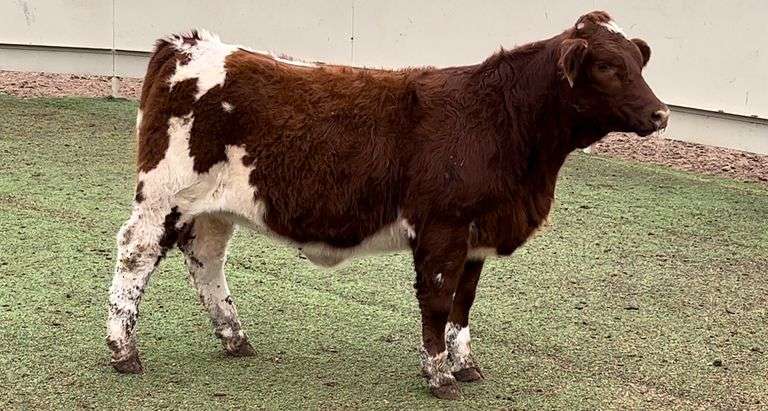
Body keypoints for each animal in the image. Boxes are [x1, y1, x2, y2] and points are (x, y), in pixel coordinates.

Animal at [107, 10, 669, 399]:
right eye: (607, 65)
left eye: (638, 62)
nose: (661, 114)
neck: (498, 121)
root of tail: (188, 45)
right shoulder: (443, 228)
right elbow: (437, 301)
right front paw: (438, 376)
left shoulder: (476, 235)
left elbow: (463, 304)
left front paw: (465, 365)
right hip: (162, 195)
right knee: (135, 256)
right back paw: (123, 351)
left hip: (213, 208)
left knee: (206, 259)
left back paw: (234, 337)